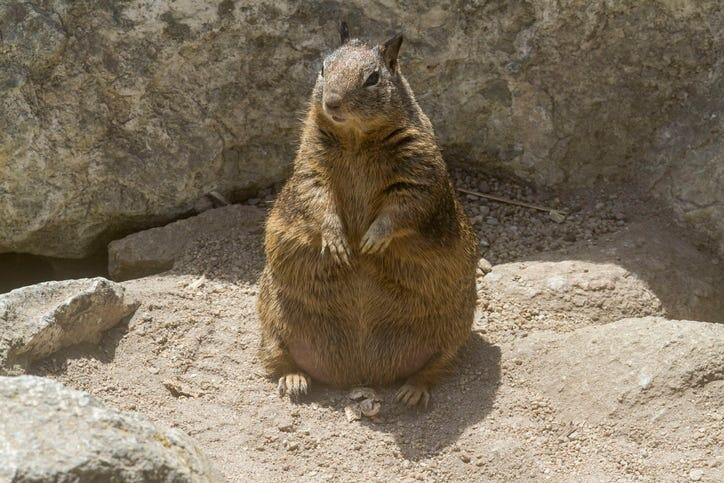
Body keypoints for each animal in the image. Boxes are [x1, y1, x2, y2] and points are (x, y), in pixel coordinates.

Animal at [257, 22, 479, 407]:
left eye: (373, 78)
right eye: (323, 68)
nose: (331, 102)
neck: (356, 138)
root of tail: (360, 372)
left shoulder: (418, 171)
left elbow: (404, 207)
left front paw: (371, 241)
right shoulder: (311, 165)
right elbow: (318, 199)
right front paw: (338, 244)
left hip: (457, 327)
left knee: (438, 364)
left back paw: (412, 391)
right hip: (270, 316)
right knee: (278, 355)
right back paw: (295, 380)